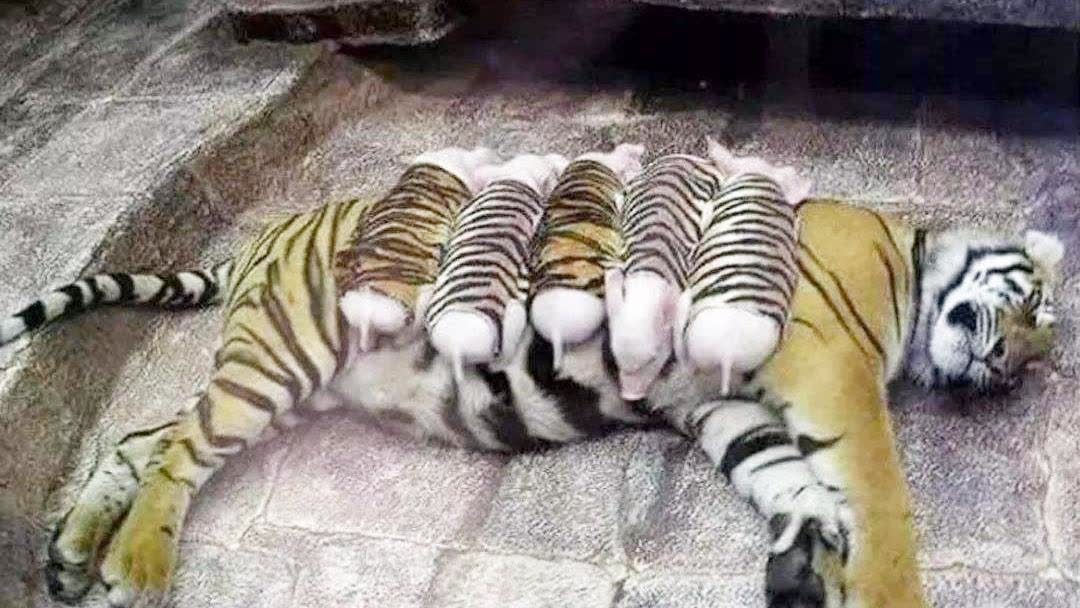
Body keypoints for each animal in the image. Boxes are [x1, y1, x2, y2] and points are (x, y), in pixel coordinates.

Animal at [1, 192, 1062, 608]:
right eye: (1038, 309)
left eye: (1031, 358)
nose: (1003, 367)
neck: (912, 264)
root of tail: (276, 229)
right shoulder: (831, 370)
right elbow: (880, 494)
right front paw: (880, 585)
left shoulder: (727, 409)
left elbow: (785, 482)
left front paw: (804, 561)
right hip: (285, 355)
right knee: (180, 452)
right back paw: (134, 566)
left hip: (285, 383)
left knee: (146, 436)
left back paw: (72, 554)